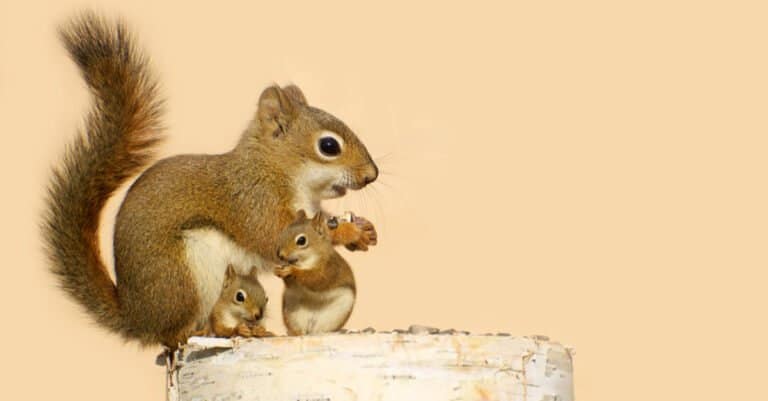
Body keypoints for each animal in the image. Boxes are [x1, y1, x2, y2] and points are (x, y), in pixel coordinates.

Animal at [41, 12, 378, 348]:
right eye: (329, 146)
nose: (371, 175)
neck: (274, 168)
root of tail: (138, 318)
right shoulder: (254, 202)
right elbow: (273, 234)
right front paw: (347, 232)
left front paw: (362, 231)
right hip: (185, 280)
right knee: (173, 335)